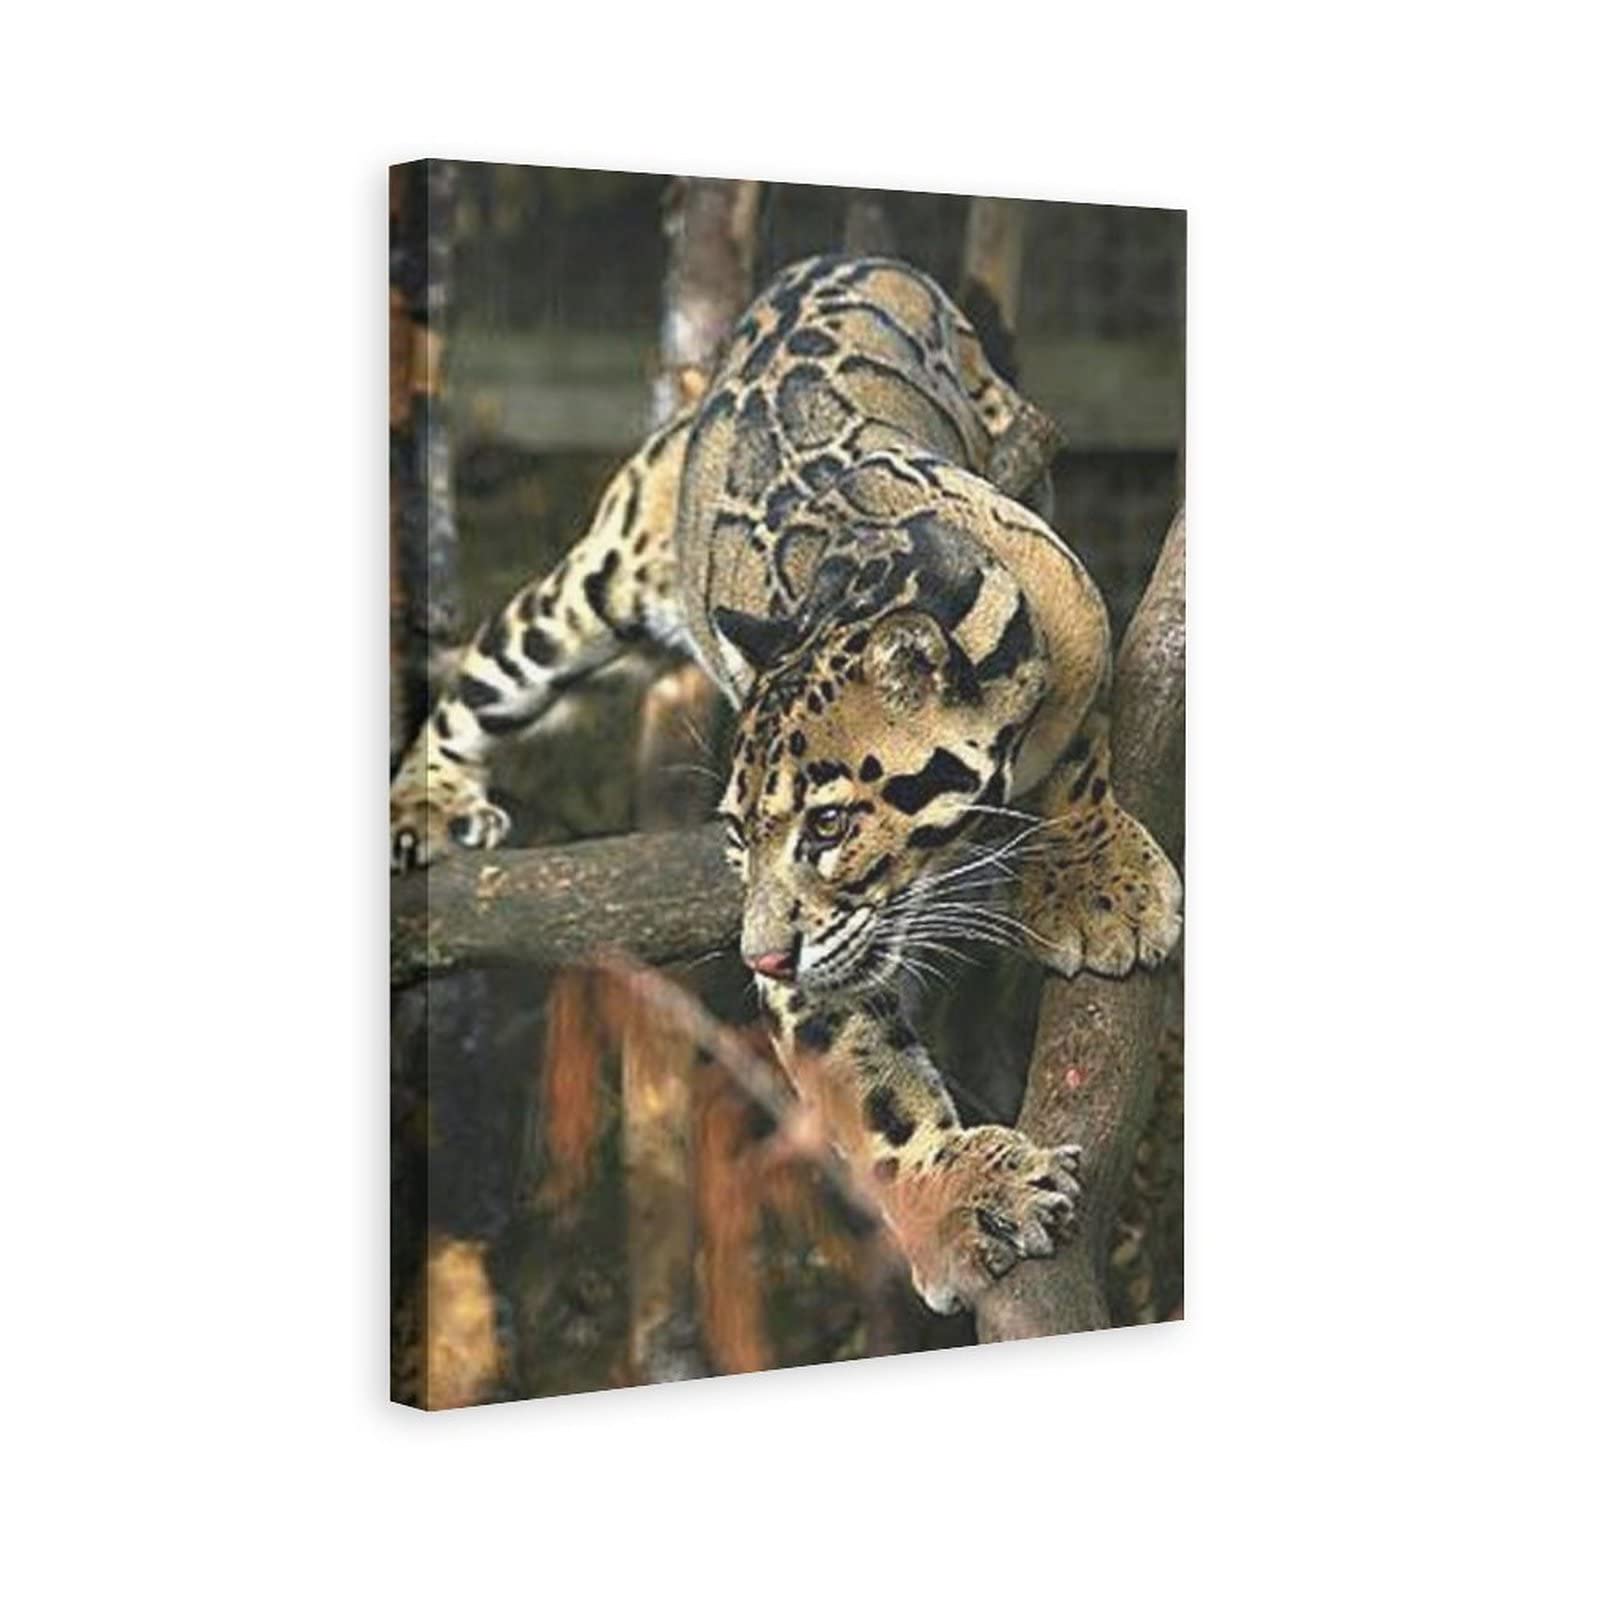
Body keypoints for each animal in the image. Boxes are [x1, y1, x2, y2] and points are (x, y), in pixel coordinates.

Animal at [391, 253, 1182, 1315]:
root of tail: (825, 263)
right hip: (594, 582)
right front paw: (963, 1205)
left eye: (830, 826)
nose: (760, 957)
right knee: (484, 675)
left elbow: (1078, 759)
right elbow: (873, 1088)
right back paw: (423, 804)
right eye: (737, 837)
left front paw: (1096, 887)